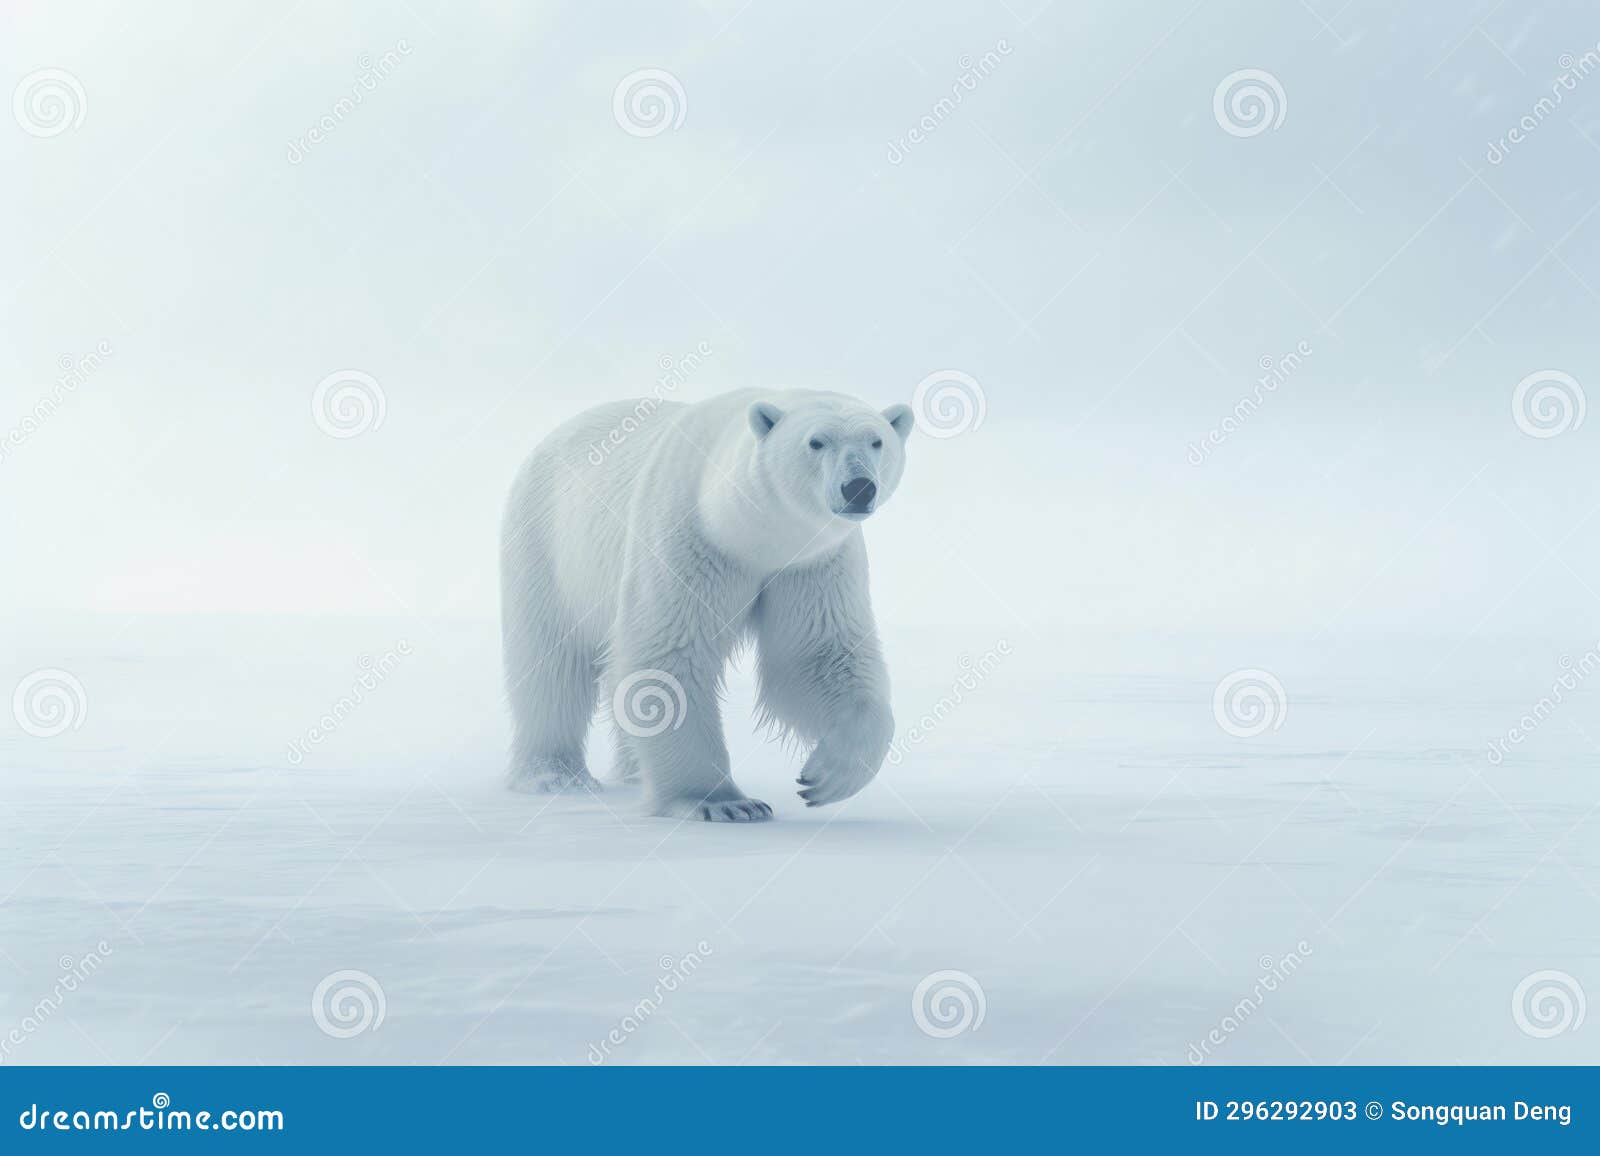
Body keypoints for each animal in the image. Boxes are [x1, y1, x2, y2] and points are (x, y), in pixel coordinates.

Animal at [500, 388, 914, 821]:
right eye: (816, 442)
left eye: (876, 440)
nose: (859, 487)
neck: (748, 534)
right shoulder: (688, 537)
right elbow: (669, 656)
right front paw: (723, 803)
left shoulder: (810, 563)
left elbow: (815, 658)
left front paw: (827, 776)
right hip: (547, 546)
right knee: (550, 668)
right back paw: (556, 775)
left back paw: (632, 771)